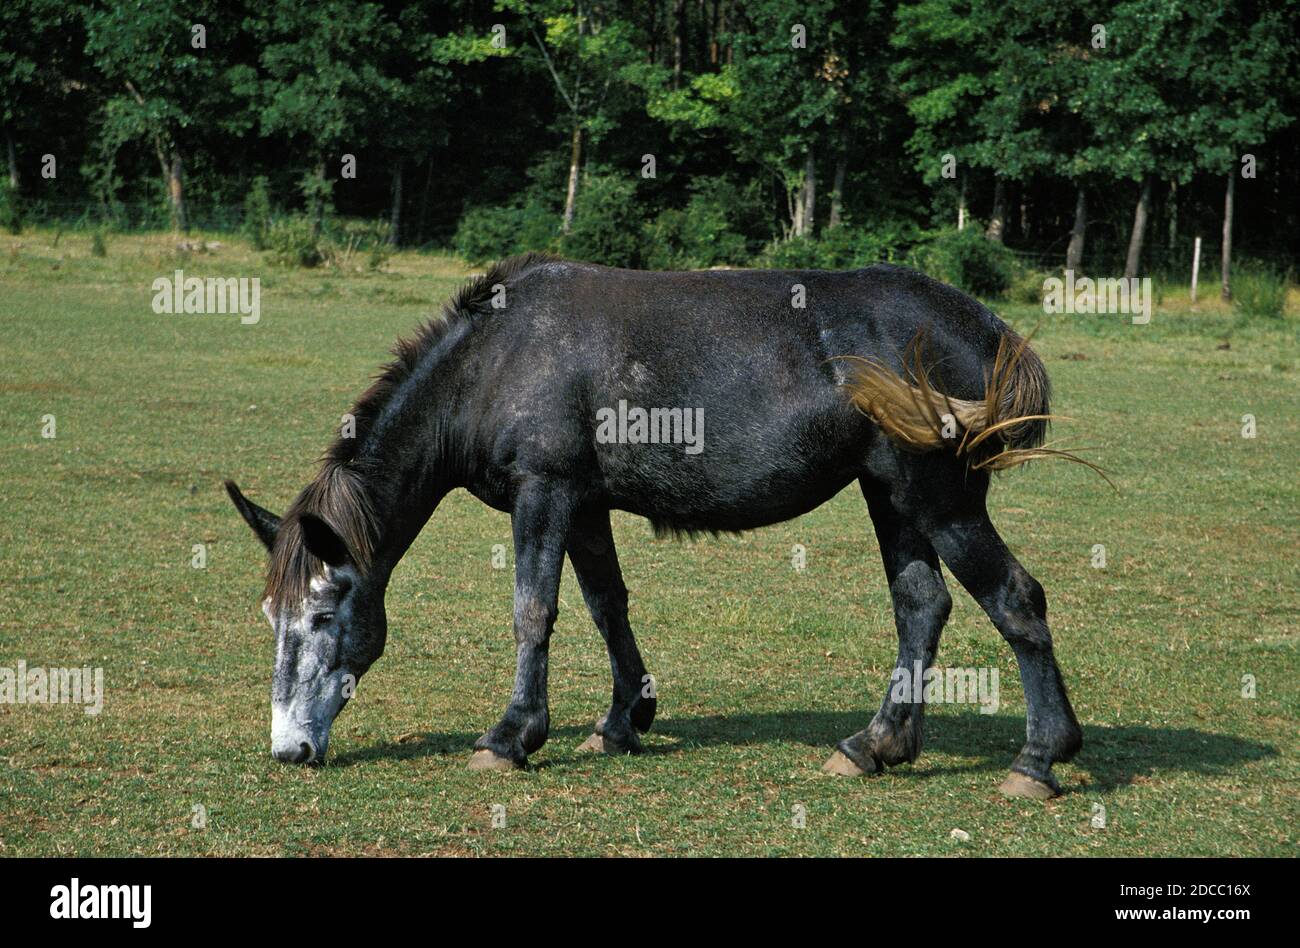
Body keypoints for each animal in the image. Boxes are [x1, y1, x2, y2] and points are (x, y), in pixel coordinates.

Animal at [226, 252, 1086, 799]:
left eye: (323, 615)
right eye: (272, 617)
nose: (288, 748)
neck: (497, 358)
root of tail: (985, 329)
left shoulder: (546, 493)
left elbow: (533, 611)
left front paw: (511, 736)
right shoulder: (585, 506)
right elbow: (607, 606)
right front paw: (621, 721)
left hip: (940, 503)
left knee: (1015, 600)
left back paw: (1038, 760)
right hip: (893, 497)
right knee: (922, 608)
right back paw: (877, 745)